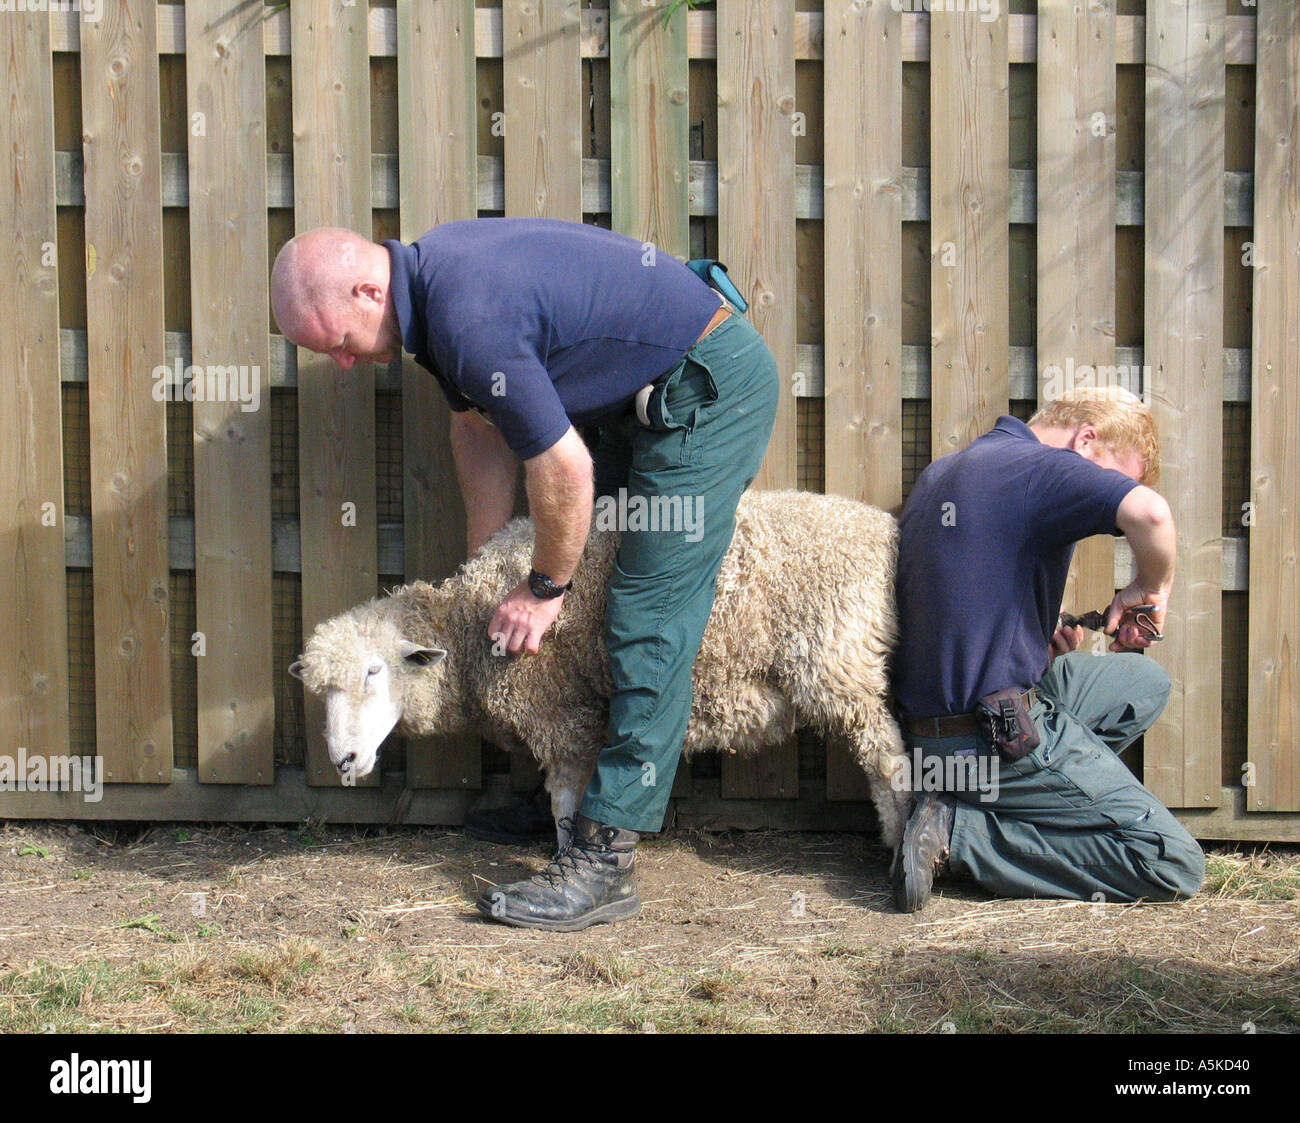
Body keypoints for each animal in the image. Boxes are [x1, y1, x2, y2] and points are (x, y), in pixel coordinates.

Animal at [290, 489, 911, 851]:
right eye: (321, 693)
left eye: (374, 673)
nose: (342, 760)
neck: (471, 627)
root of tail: (884, 531)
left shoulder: (556, 710)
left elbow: (566, 797)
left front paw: (566, 858)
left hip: (835, 663)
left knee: (887, 759)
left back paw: (905, 847)